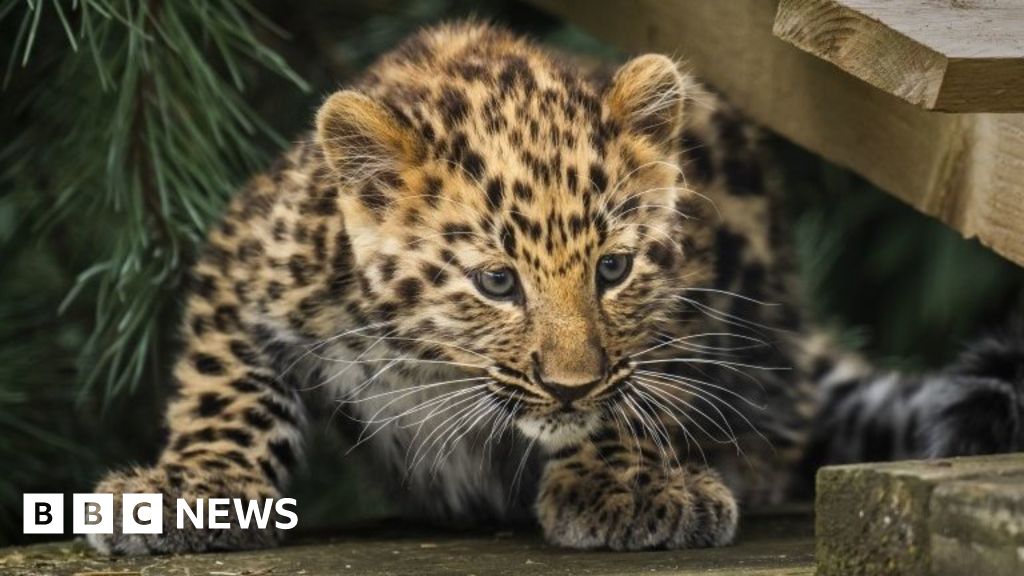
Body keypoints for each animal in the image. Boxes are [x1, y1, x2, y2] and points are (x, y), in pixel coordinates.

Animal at [89, 21, 1024, 555]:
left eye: (612, 269)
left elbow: (646, 390)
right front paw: (193, 488)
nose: (569, 385)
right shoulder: (248, 254)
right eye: (496, 282)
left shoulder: (689, 290)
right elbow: (227, 389)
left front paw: (627, 485)